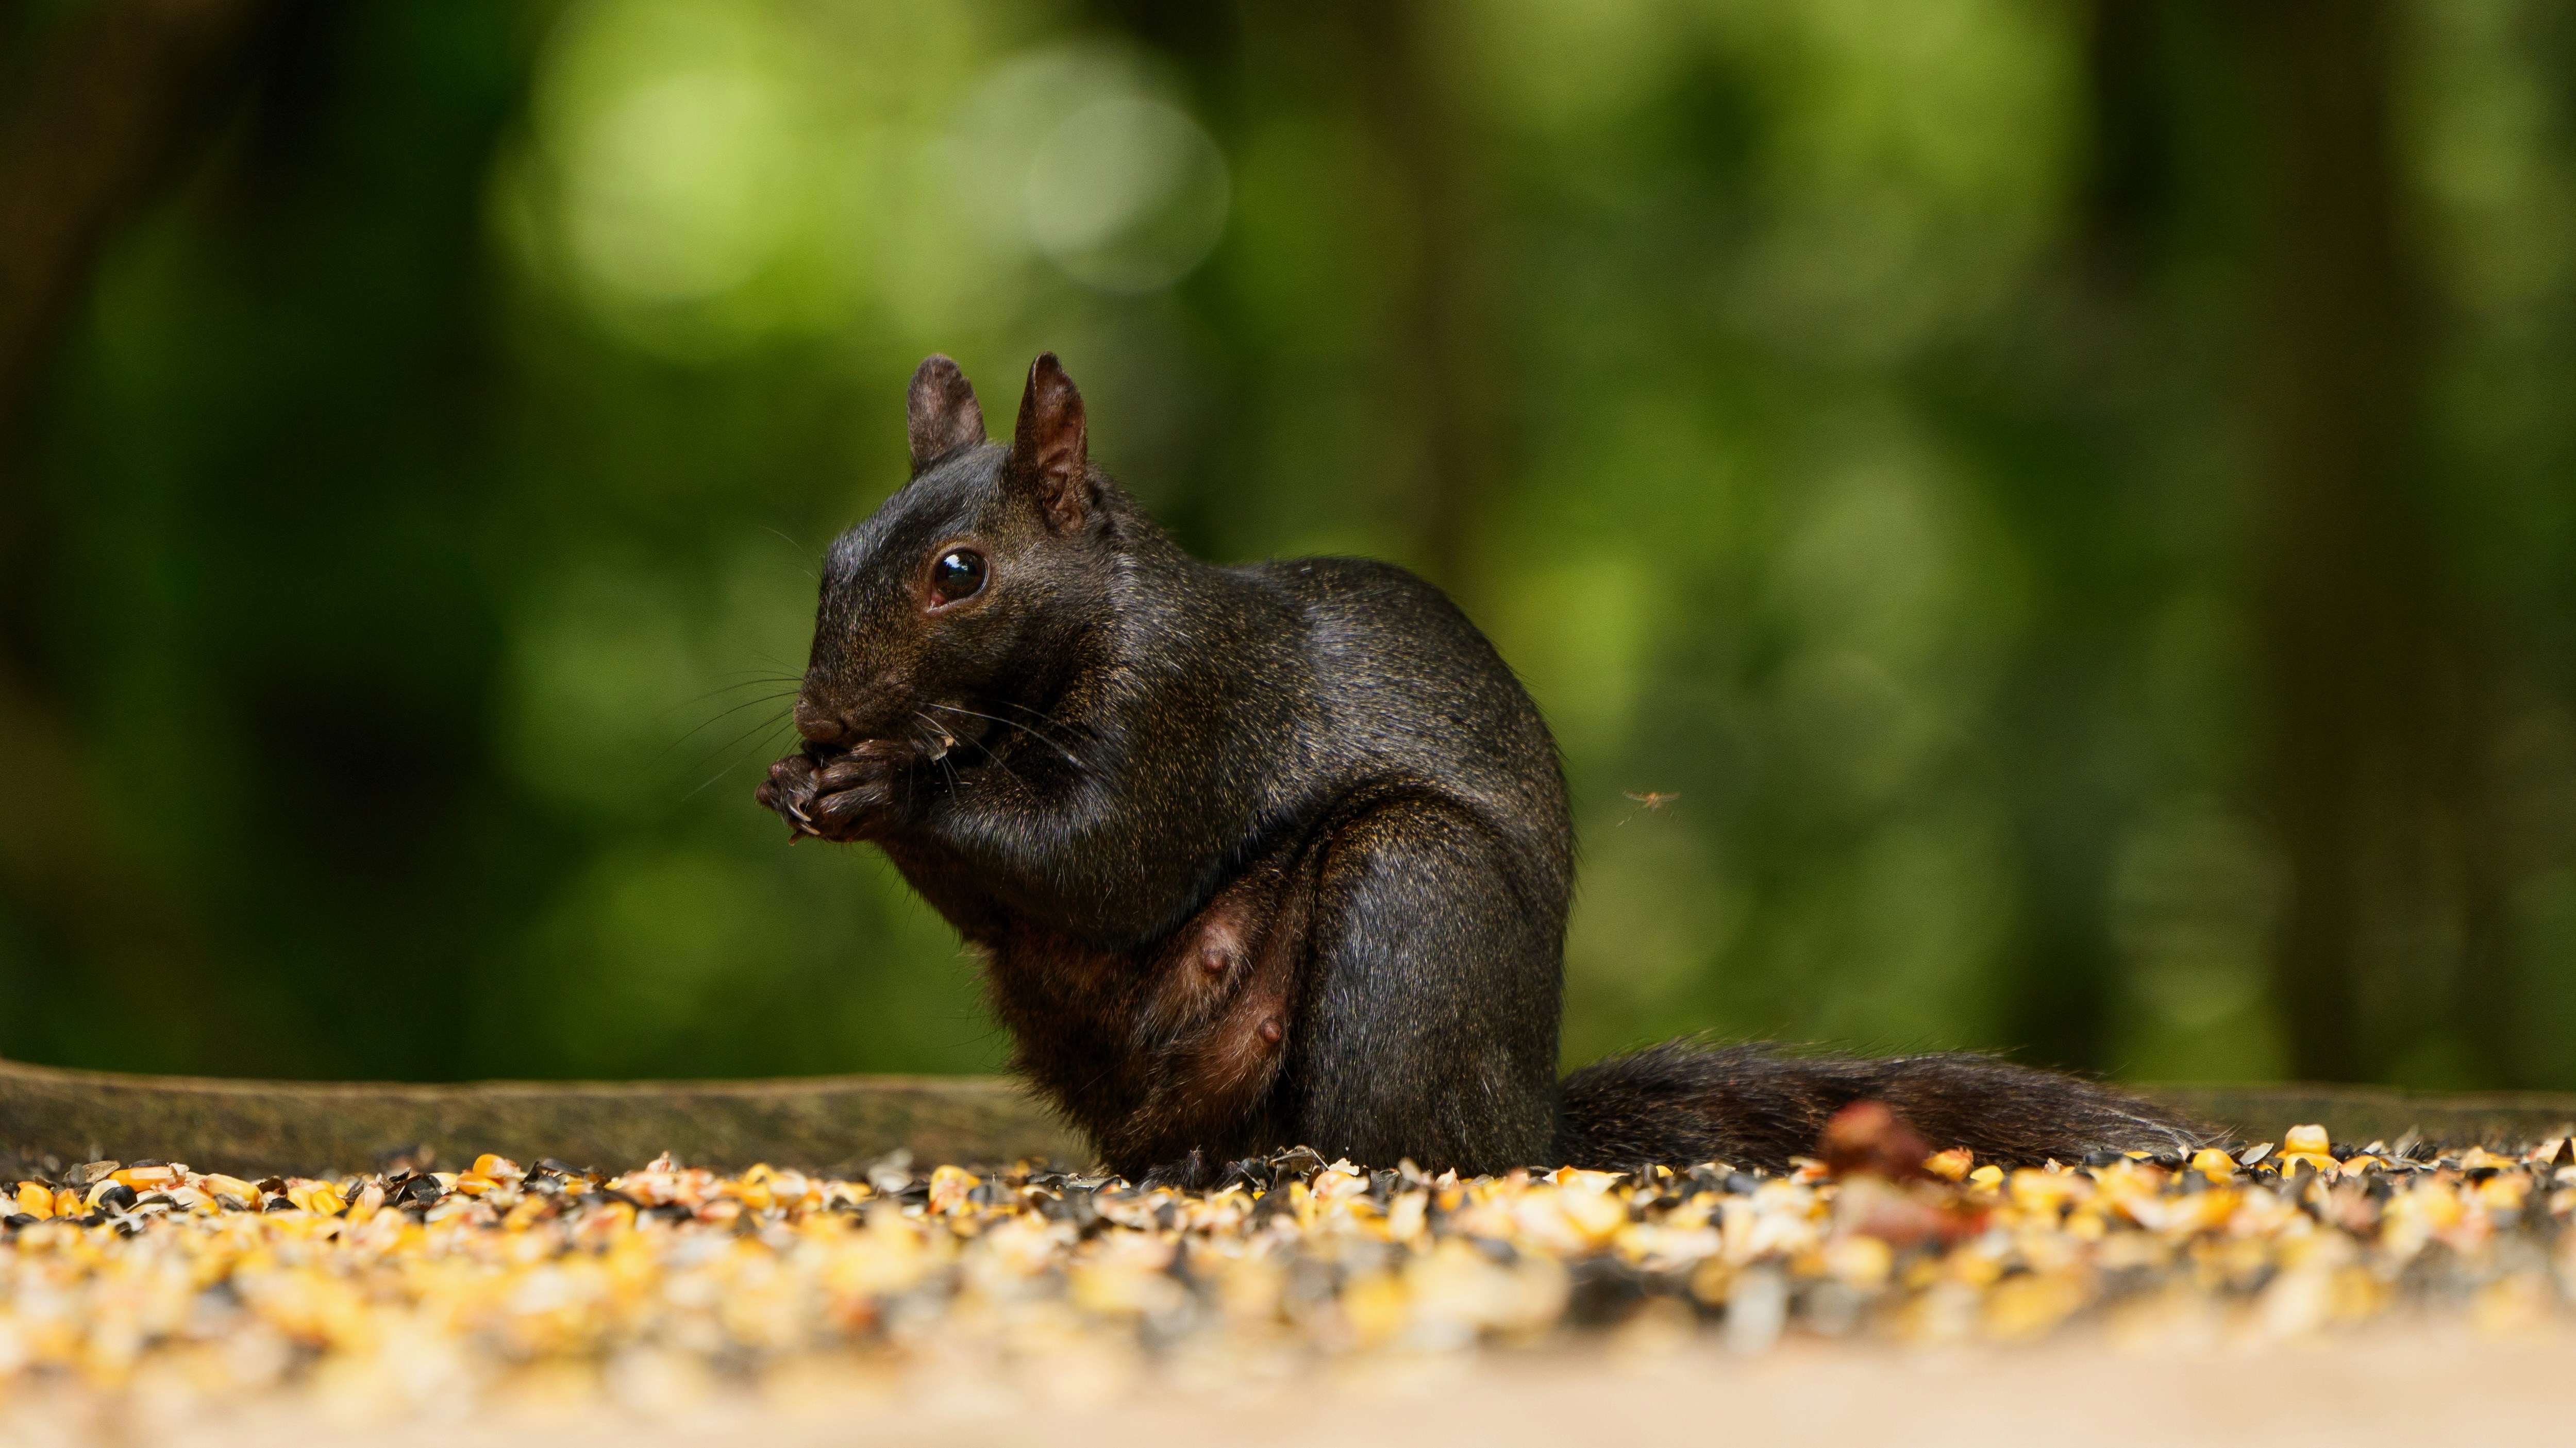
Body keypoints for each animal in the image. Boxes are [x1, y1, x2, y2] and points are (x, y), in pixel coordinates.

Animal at [756, 353, 2209, 1184]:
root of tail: (1530, 1122)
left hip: (1416, 895)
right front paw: (805, 782)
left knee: (1415, 1142)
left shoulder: (1193, 712)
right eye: (832, 553)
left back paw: (1309, 1166)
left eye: (960, 574)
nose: (824, 716)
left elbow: (1101, 859)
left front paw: (886, 786)